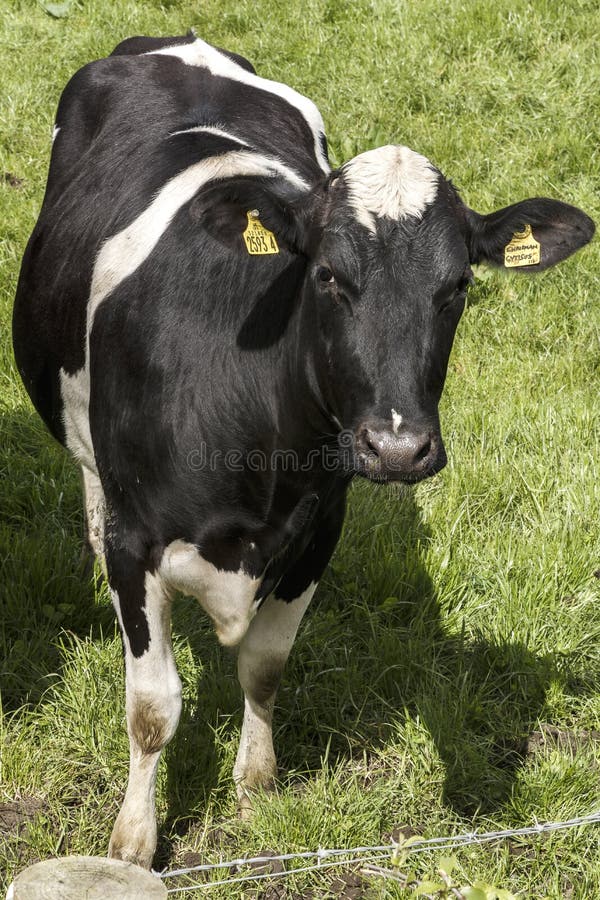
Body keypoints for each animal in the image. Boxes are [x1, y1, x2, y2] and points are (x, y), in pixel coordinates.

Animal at [13, 31, 594, 869]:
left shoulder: (320, 530)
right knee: (90, 485)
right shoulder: (138, 542)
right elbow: (153, 706)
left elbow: (264, 666)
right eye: (327, 276)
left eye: (456, 285)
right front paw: (133, 840)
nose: (397, 448)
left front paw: (257, 788)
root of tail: (175, 40)